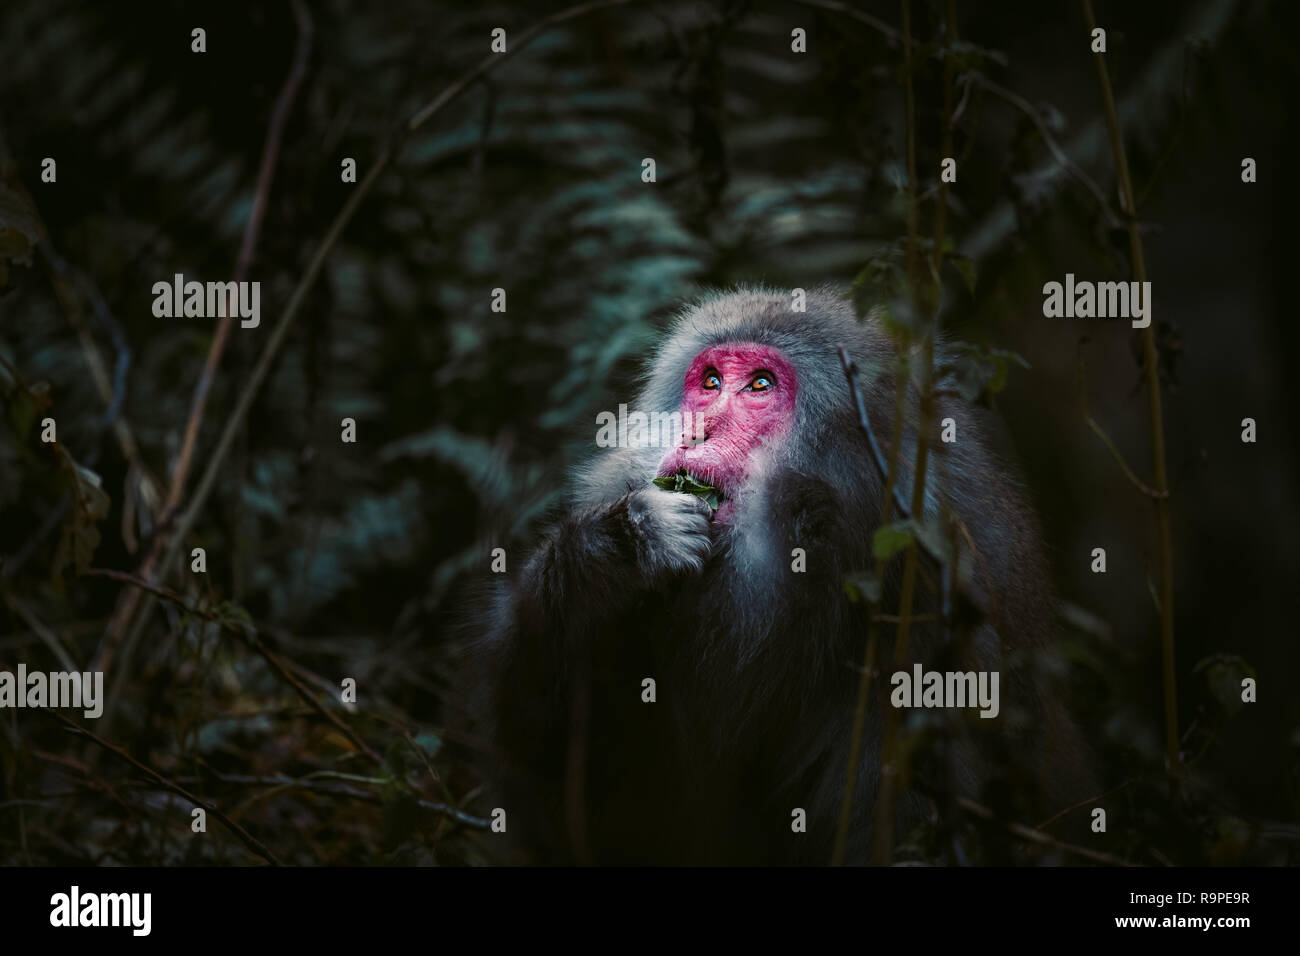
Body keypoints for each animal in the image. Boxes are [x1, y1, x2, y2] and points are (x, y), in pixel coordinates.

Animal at [464, 285, 1094, 865]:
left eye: (760, 386)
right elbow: (531, 738)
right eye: (710, 383)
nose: (698, 430)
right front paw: (626, 541)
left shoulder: (939, 625)